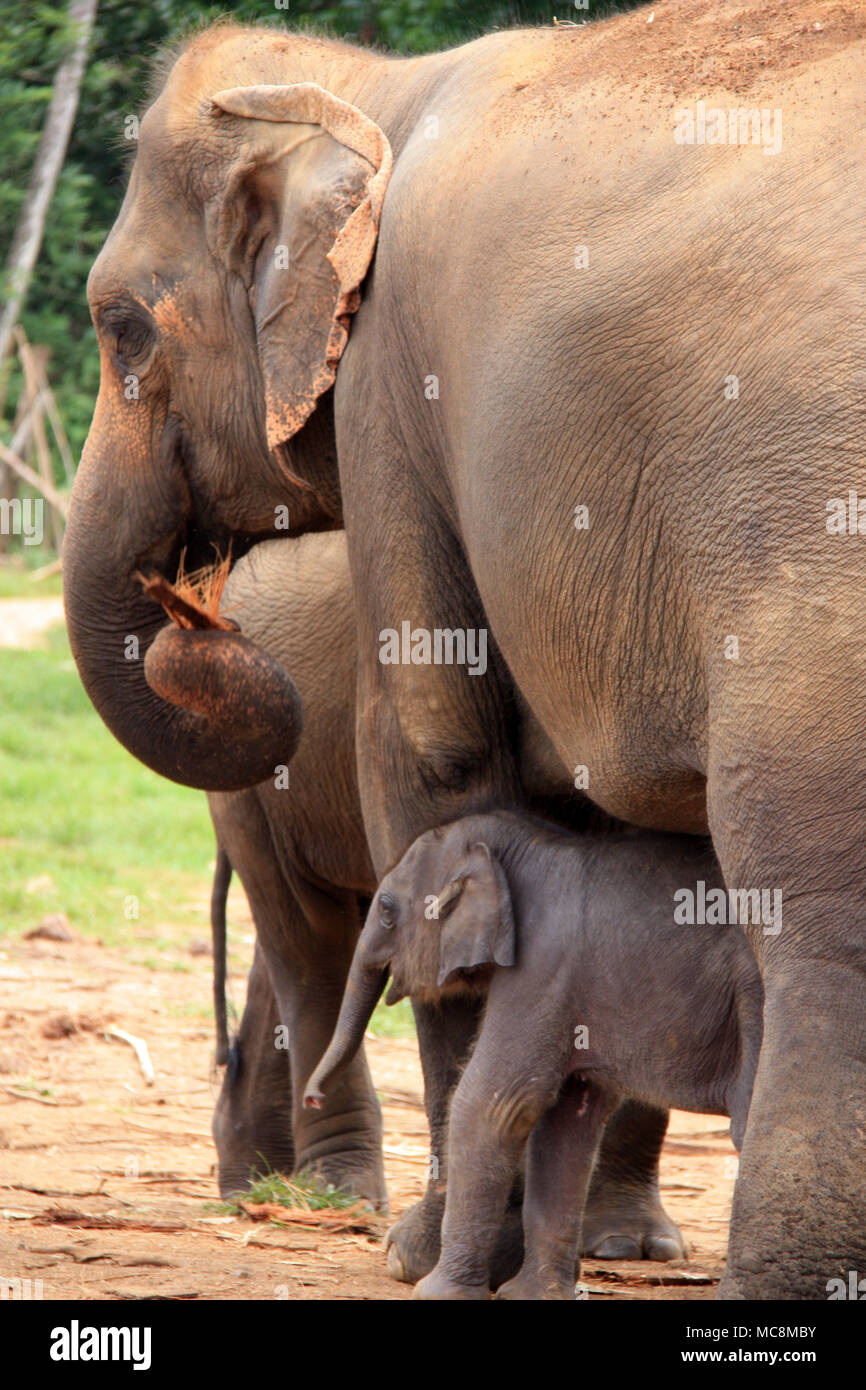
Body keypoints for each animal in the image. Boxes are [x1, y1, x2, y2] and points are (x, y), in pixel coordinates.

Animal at [305, 812, 764, 1300]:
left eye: (387, 909)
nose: (313, 1097)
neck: (530, 847)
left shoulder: (542, 970)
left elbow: (493, 1104)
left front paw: (434, 1293)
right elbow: (567, 1123)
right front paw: (532, 1295)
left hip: (757, 1001)